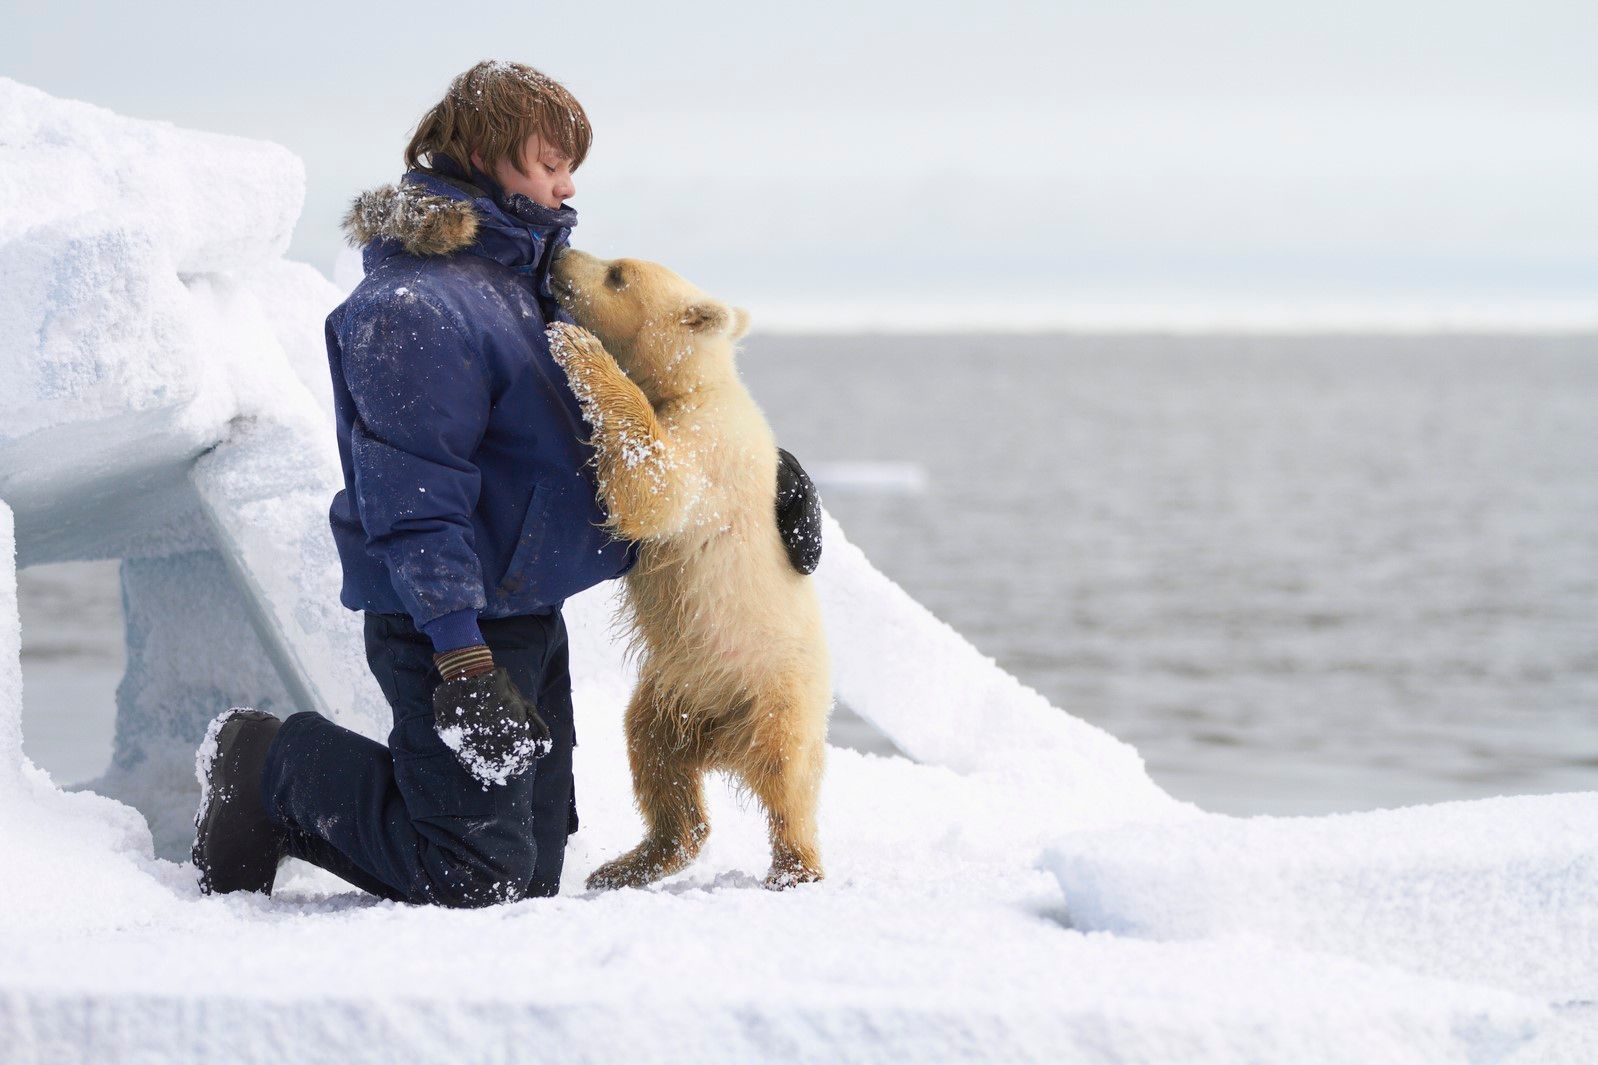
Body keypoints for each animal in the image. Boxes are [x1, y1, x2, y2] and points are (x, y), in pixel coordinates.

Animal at [545, 248, 831, 890]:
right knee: (654, 759)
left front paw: (579, 350)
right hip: (671, 694)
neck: (694, 384)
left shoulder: (706, 447)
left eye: (618, 273)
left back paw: (795, 869)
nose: (561, 256)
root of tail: (722, 741)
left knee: (787, 776)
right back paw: (631, 862)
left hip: (772, 688)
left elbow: (655, 487)